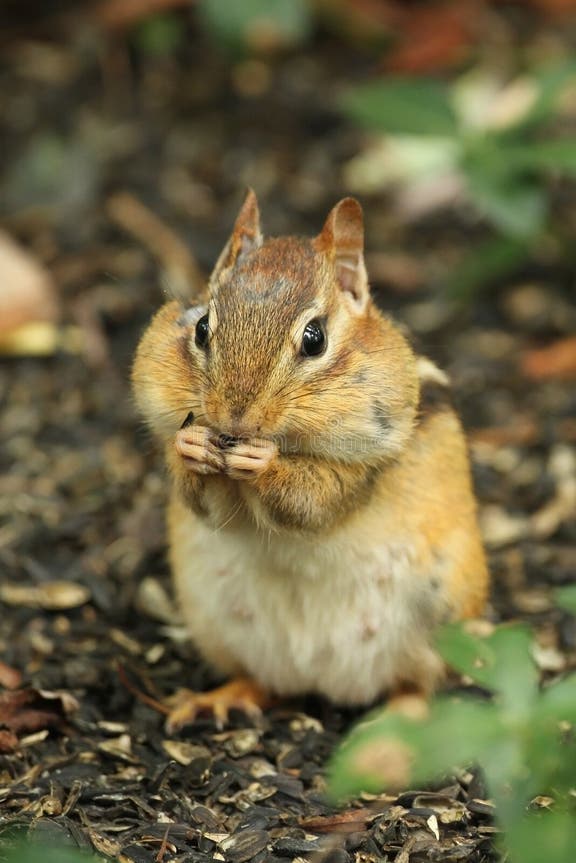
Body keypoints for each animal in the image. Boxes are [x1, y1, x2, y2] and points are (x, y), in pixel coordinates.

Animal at [132, 191, 489, 729]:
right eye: (201, 327)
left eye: (314, 338)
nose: (234, 419)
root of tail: (323, 675)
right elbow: (204, 502)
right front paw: (189, 447)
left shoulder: (367, 463)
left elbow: (315, 500)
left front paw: (264, 462)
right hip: (215, 620)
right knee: (262, 682)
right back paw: (217, 698)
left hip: (442, 617)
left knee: (418, 684)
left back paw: (396, 719)